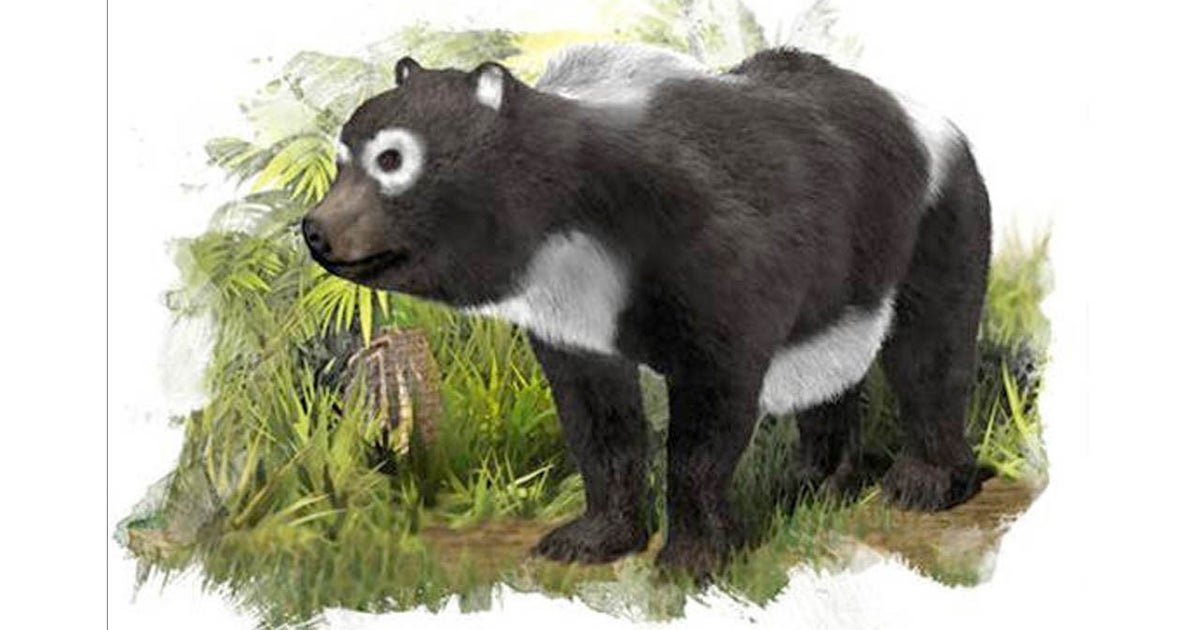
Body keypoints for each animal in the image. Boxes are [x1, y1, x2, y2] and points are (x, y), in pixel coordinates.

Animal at [302, 42, 992, 578]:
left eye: (392, 160)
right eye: (340, 160)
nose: (315, 230)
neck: (577, 209)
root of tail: (933, 119)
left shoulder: (711, 250)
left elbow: (712, 402)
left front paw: (693, 556)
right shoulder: (575, 304)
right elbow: (596, 416)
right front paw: (591, 537)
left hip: (933, 217)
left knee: (929, 350)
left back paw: (925, 483)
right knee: (830, 368)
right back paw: (815, 480)